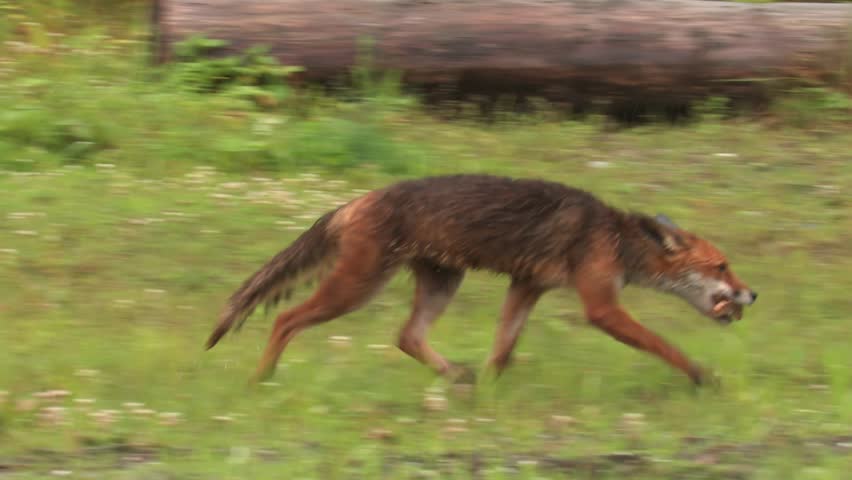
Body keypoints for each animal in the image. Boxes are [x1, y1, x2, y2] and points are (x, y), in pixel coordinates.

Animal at [205, 174, 757, 386]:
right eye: (722, 266)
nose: (754, 293)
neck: (615, 236)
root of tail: (352, 202)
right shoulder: (601, 307)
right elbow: (665, 346)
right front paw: (701, 376)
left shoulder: (527, 287)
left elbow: (504, 350)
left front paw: (491, 392)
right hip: (357, 288)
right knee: (286, 319)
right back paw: (260, 380)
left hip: (441, 283)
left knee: (406, 337)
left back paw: (456, 377)